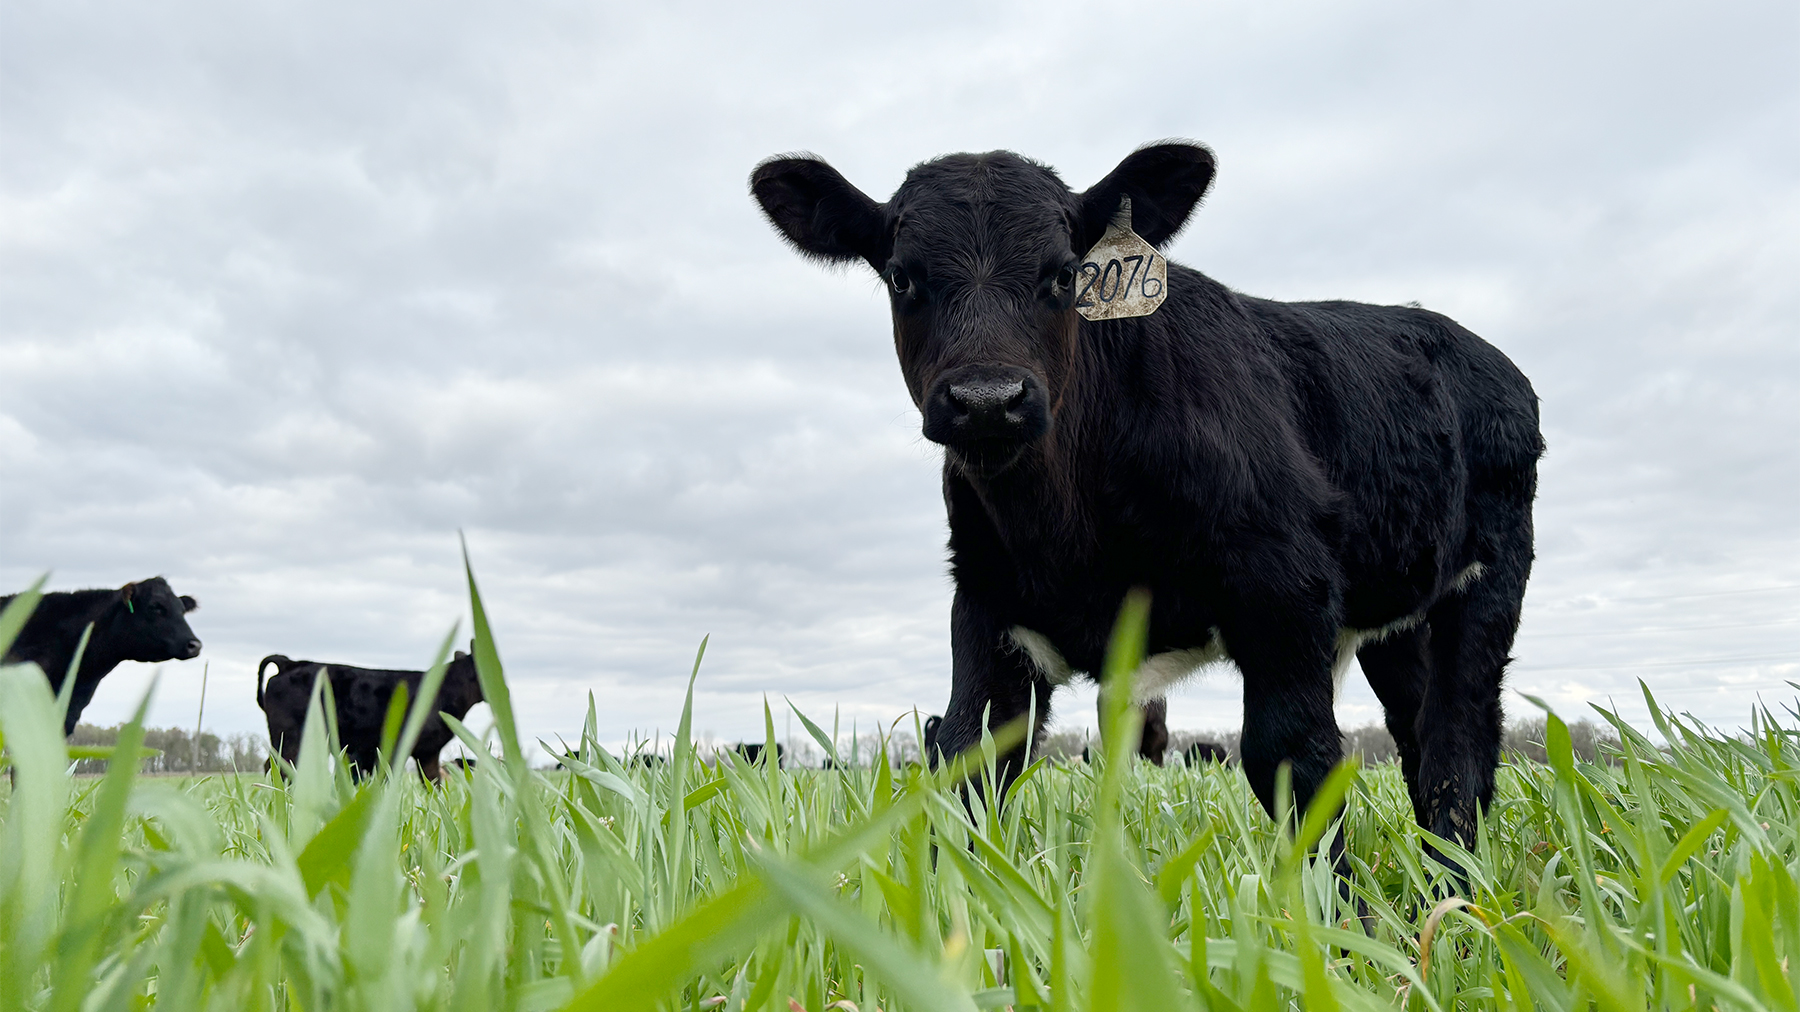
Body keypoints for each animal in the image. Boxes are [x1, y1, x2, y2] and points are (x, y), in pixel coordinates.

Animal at [750, 141, 1542, 857]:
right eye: (902, 278)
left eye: (1063, 274)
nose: (987, 400)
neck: (1068, 532)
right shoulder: (985, 605)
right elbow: (968, 754)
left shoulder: (1285, 588)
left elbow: (1294, 756)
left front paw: (1338, 923)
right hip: (1395, 620)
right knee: (1415, 731)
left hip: (1489, 580)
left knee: (1457, 746)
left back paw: (1457, 894)